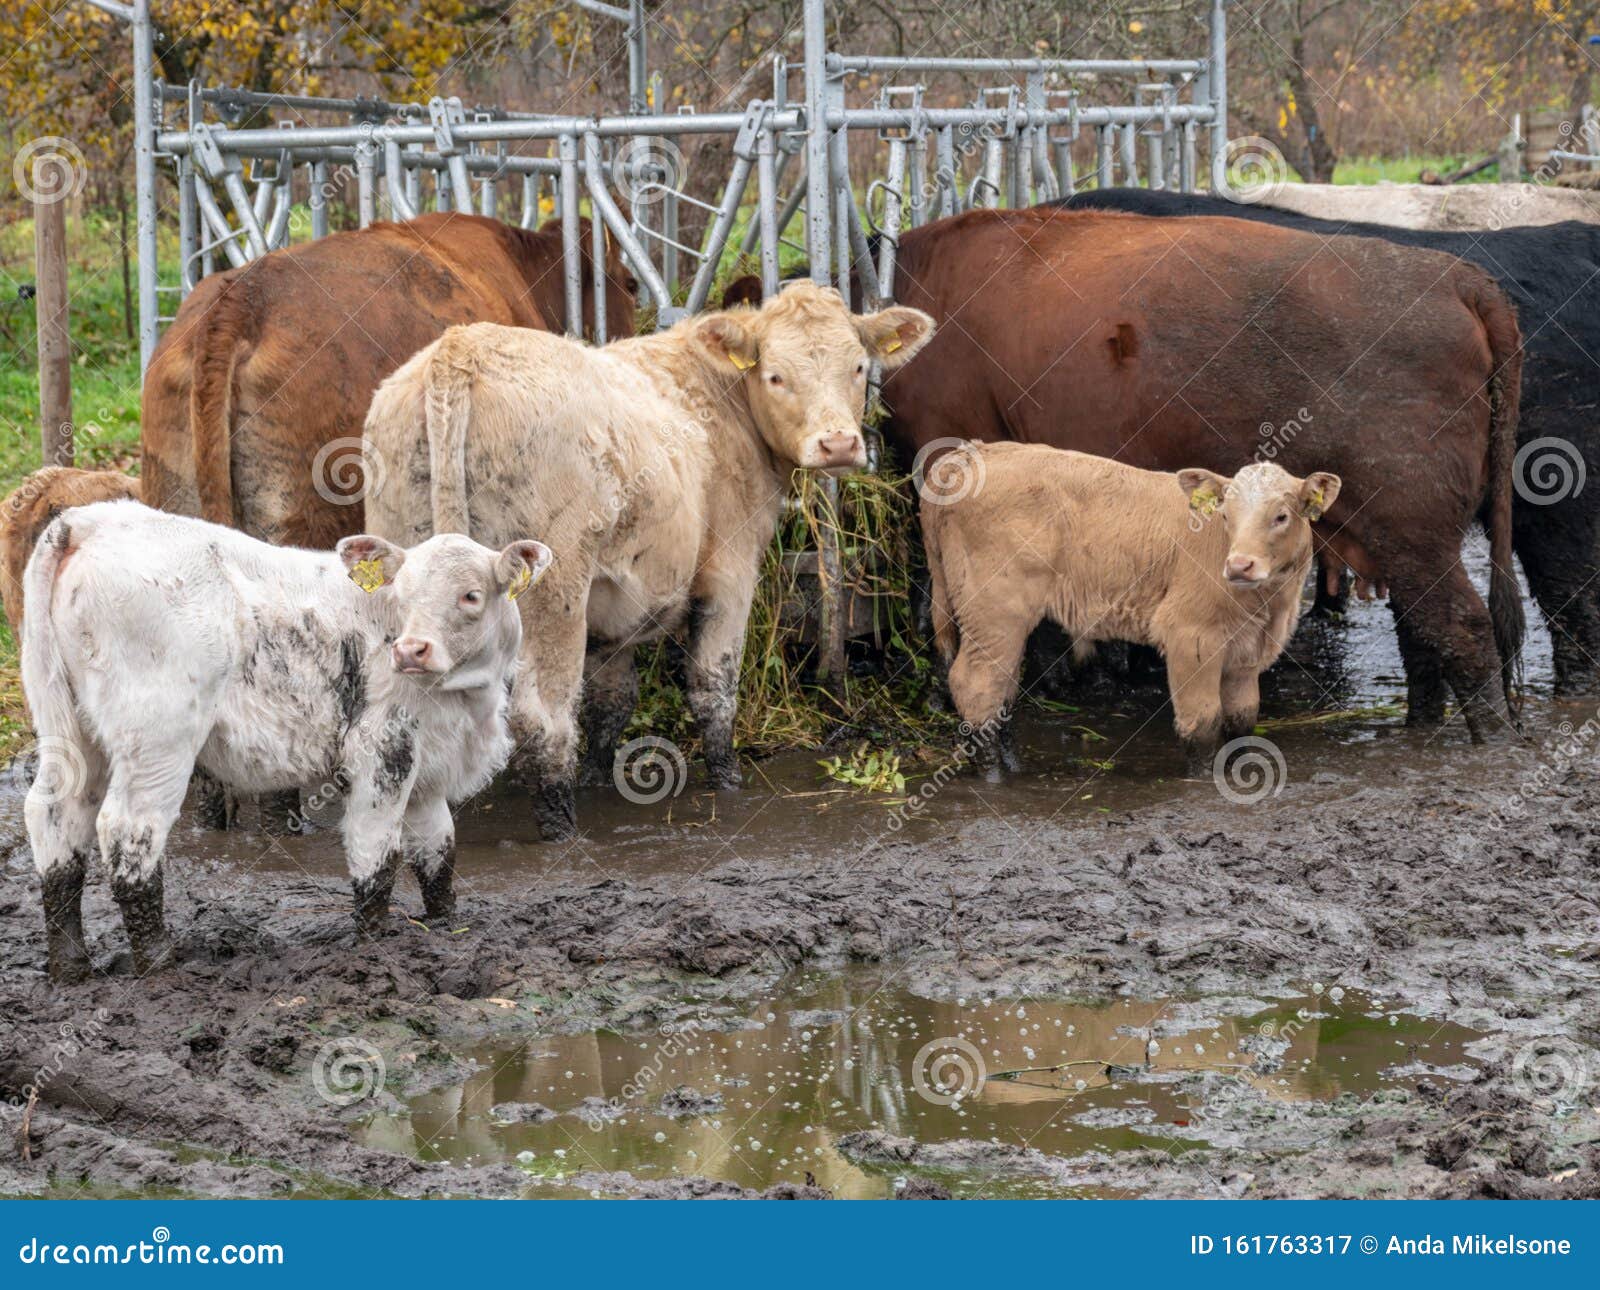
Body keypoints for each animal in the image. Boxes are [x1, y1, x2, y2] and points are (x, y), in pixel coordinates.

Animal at [21, 500, 550, 982]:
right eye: (403, 595)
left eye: (471, 596)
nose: (409, 651)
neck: (465, 704)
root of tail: (89, 520)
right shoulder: (378, 750)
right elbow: (376, 851)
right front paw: (376, 943)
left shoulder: (426, 766)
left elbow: (437, 850)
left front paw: (443, 927)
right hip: (157, 738)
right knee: (130, 828)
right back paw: (158, 962)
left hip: (68, 729)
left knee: (55, 816)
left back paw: (70, 967)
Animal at [362, 281, 935, 840]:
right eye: (776, 376)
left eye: (857, 367)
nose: (838, 443)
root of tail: (459, 349)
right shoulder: (730, 572)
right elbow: (713, 686)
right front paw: (727, 781)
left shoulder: (608, 605)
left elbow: (611, 699)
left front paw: (596, 776)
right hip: (552, 588)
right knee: (541, 716)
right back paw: (560, 828)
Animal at [924, 444, 1340, 773]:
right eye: (1225, 516)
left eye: (1281, 516)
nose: (1239, 565)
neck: (1269, 608)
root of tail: (966, 454)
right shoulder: (1190, 635)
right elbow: (1202, 724)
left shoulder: (1246, 654)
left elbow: (1242, 720)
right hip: (993, 610)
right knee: (976, 686)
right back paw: (994, 775)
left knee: (1002, 692)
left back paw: (1012, 766)